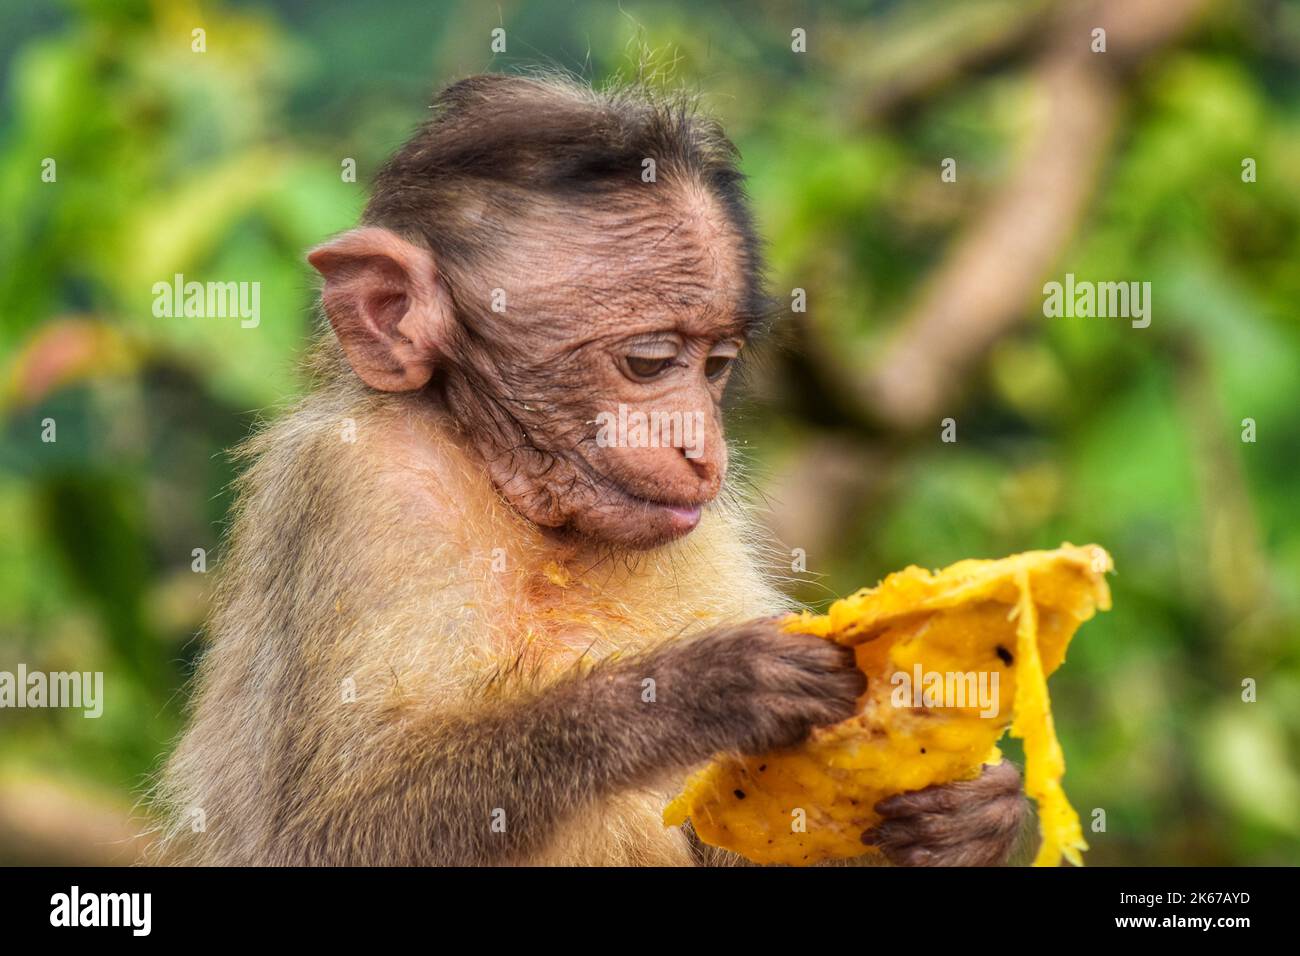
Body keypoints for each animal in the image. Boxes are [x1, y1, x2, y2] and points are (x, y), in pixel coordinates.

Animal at [153, 73, 1025, 867]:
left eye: (716, 366)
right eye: (649, 362)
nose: (702, 448)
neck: (520, 506)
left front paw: (971, 820)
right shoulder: (360, 485)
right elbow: (325, 832)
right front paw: (701, 688)